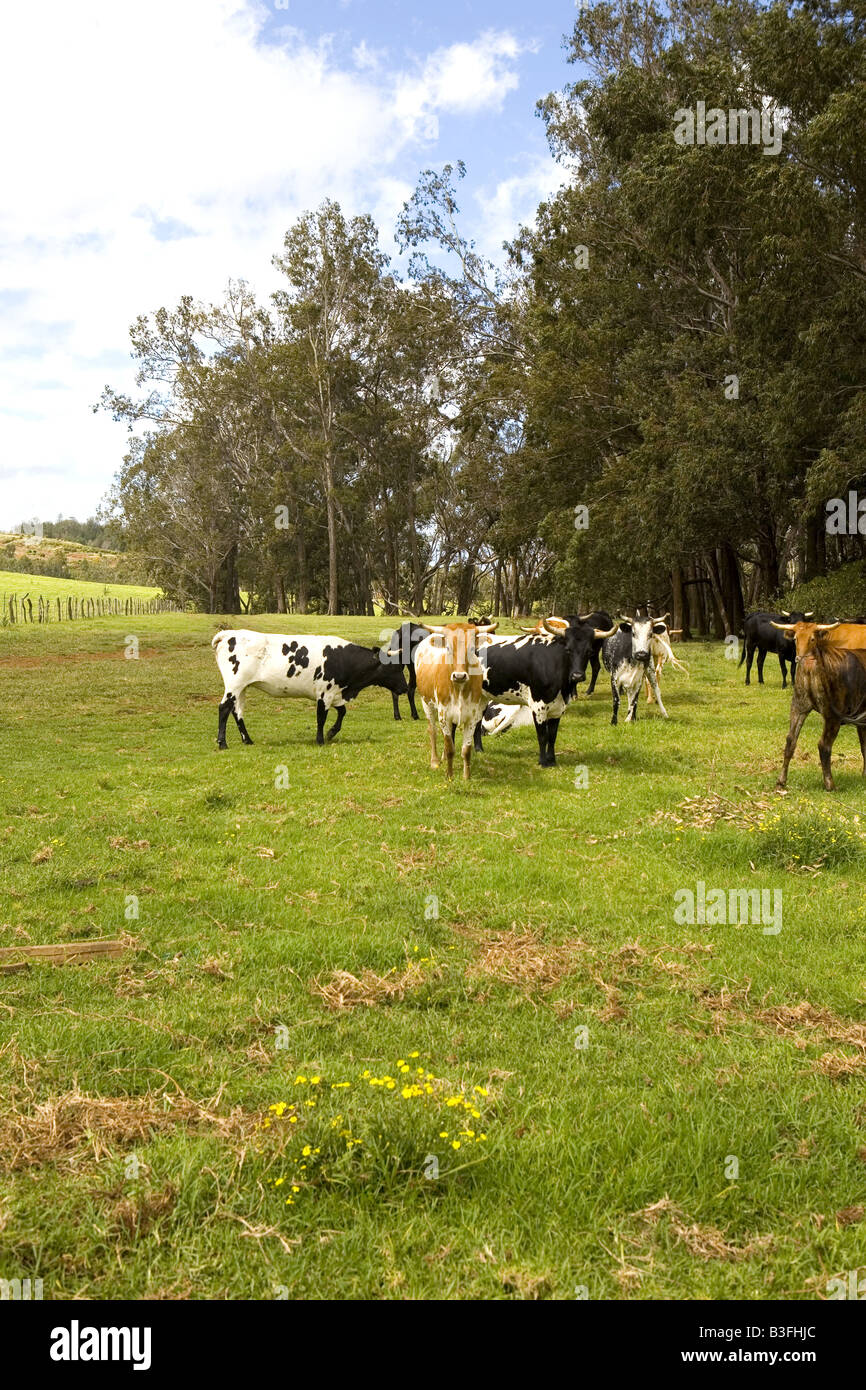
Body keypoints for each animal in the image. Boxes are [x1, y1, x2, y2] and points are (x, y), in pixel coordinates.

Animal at [212, 630, 408, 749]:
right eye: (395, 668)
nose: (405, 688)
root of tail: (230, 634)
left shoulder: (335, 693)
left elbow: (342, 712)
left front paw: (331, 733)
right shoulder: (324, 693)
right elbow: (321, 718)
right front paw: (320, 740)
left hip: (242, 688)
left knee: (237, 712)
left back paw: (247, 740)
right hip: (234, 685)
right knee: (224, 708)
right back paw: (222, 743)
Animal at [414, 621, 498, 780]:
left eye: (472, 649)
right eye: (448, 648)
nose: (459, 676)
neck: (459, 688)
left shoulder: (472, 718)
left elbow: (466, 749)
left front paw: (466, 777)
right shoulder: (443, 716)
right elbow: (449, 748)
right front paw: (450, 776)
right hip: (426, 703)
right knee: (433, 731)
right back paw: (435, 760)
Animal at [474, 615, 617, 766]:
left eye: (589, 651)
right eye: (568, 650)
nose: (577, 676)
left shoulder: (558, 708)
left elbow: (552, 736)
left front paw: (552, 760)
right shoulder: (538, 706)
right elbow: (542, 736)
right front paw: (543, 761)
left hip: (482, 697)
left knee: (477, 721)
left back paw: (478, 749)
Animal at [774, 623, 866, 791]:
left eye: (812, 638)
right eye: (795, 639)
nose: (799, 658)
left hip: (798, 705)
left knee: (790, 740)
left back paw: (781, 780)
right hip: (832, 716)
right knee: (824, 745)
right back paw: (830, 784)